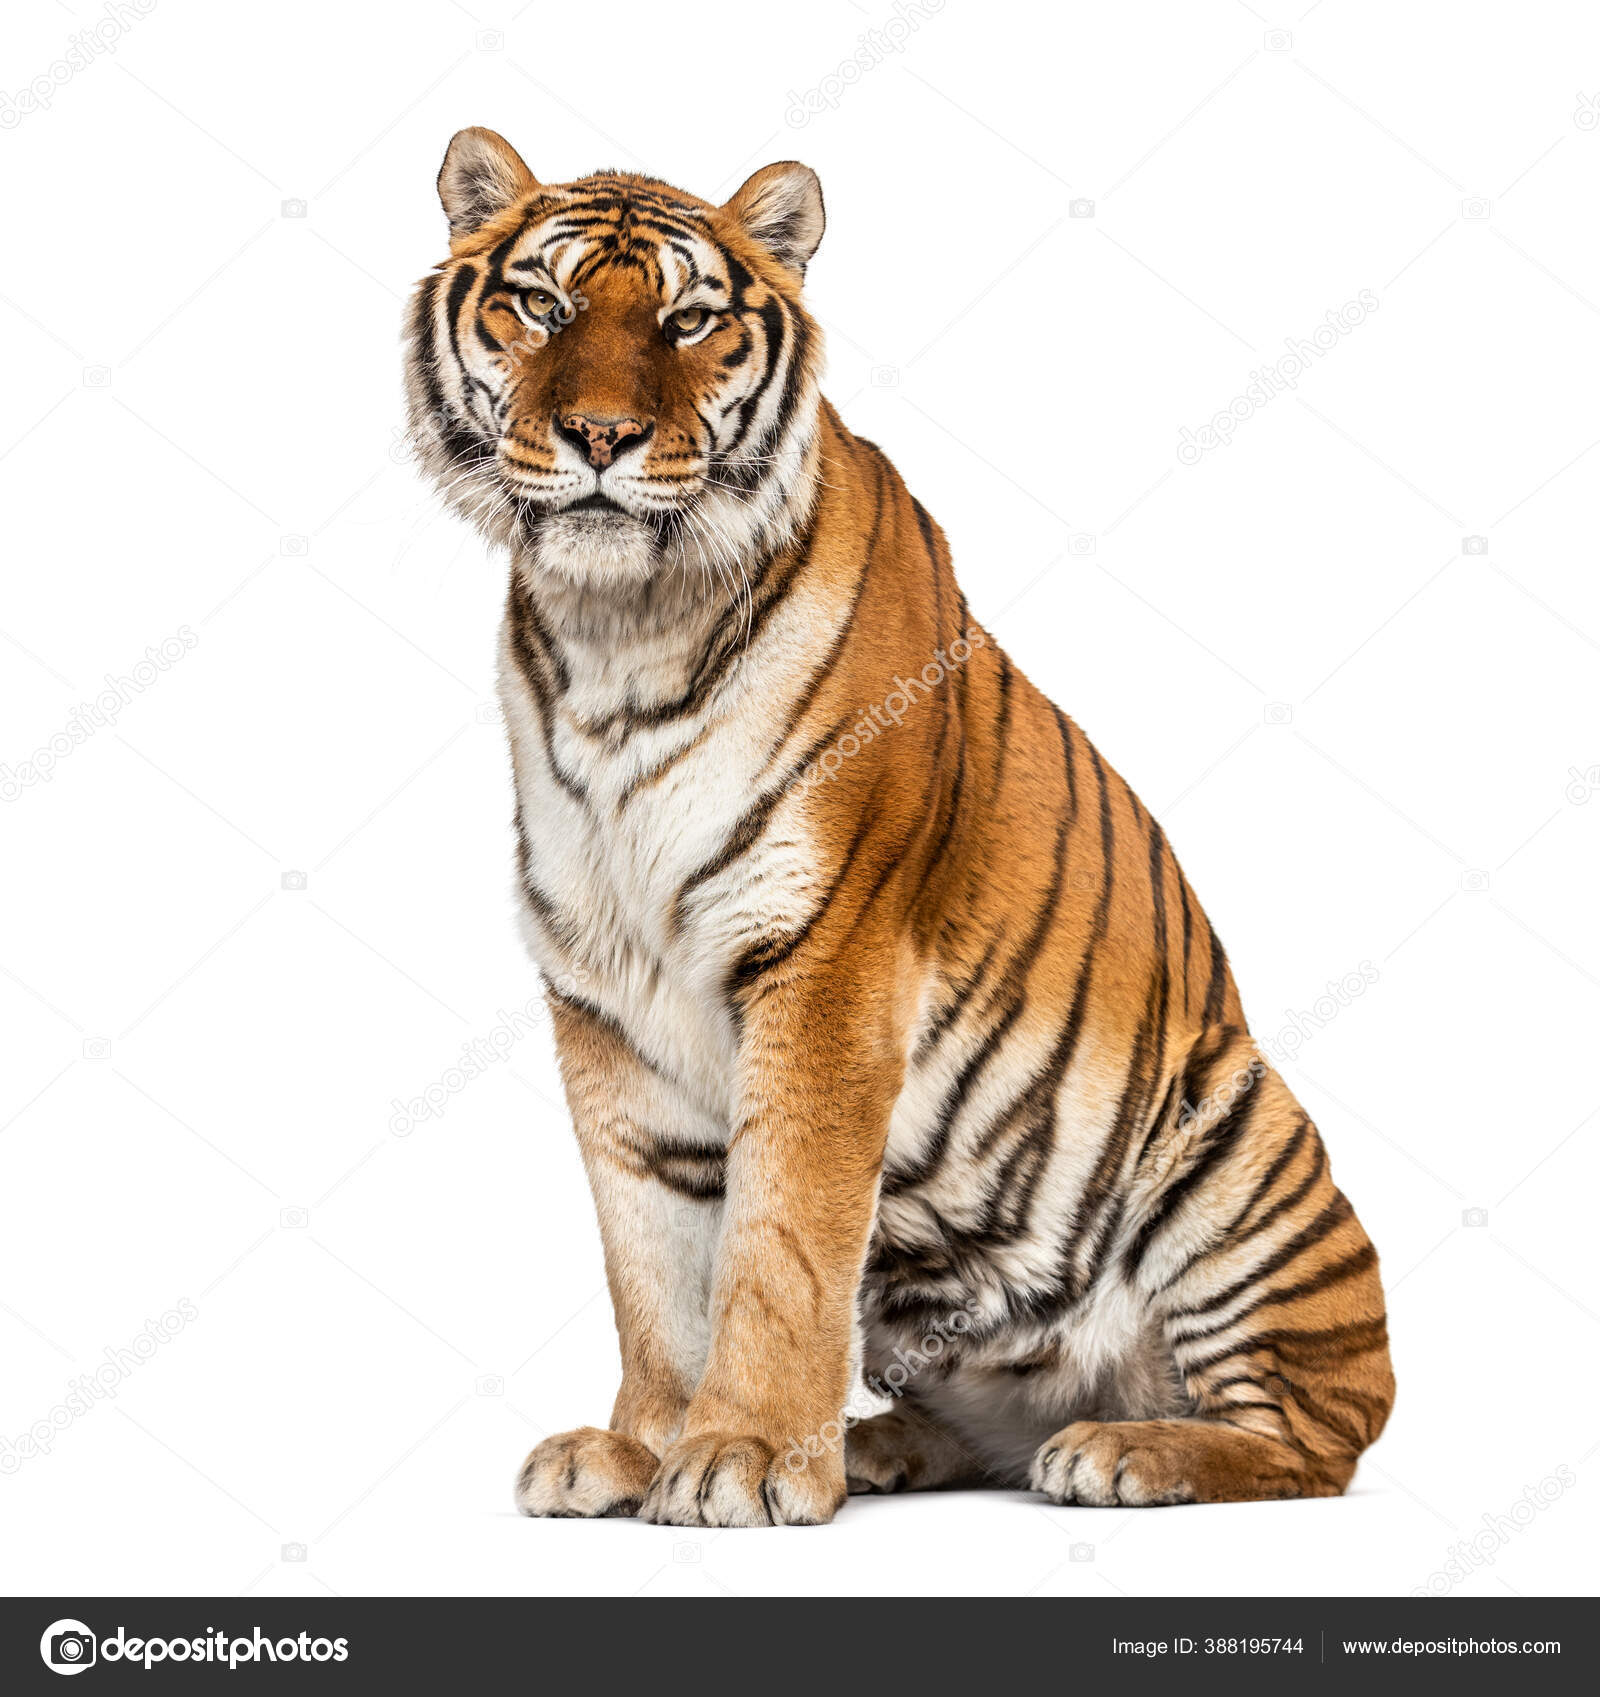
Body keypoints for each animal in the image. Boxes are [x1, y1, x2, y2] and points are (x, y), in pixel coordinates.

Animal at [403, 126, 1395, 1527]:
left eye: (688, 319)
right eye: (539, 305)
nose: (600, 434)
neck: (618, 633)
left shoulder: (826, 954)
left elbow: (781, 1238)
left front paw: (745, 1454)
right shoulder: (601, 996)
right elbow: (649, 1257)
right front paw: (644, 1445)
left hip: (1234, 1140)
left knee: (1313, 1433)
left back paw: (1125, 1450)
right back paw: (891, 1444)